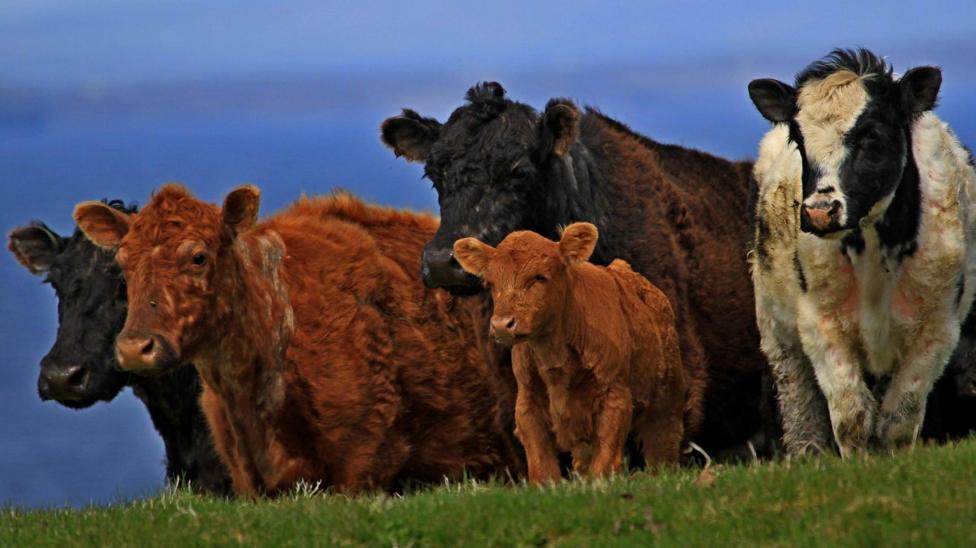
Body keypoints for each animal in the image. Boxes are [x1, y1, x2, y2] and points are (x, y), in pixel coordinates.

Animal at [454, 223, 695, 482]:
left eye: (540, 277)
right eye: (490, 284)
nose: (501, 325)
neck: (555, 357)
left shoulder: (615, 396)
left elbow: (605, 460)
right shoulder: (527, 403)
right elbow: (541, 465)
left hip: (666, 403)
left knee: (662, 449)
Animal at [747, 48, 976, 456]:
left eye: (873, 135)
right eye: (799, 140)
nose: (820, 211)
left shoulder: (938, 329)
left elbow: (900, 419)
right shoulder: (820, 326)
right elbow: (851, 416)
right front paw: (859, 462)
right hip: (778, 337)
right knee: (799, 405)